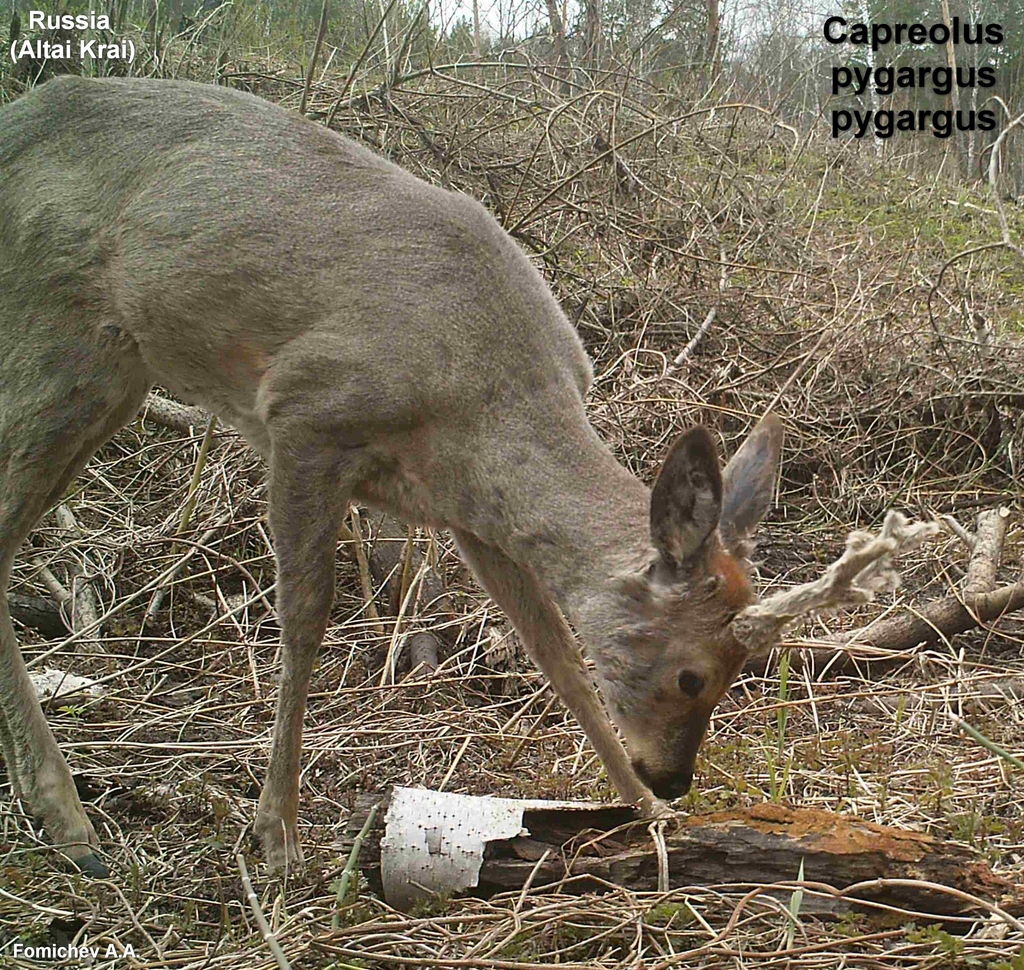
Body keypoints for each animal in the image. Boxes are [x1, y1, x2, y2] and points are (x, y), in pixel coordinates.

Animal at [0, 76, 938, 878]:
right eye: (691, 676)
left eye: (744, 670)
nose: (675, 779)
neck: (484, 397)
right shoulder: (305, 414)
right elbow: (304, 622)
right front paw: (279, 837)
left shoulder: (466, 509)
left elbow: (558, 653)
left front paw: (649, 817)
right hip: (63, 337)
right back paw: (72, 822)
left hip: (114, 371)